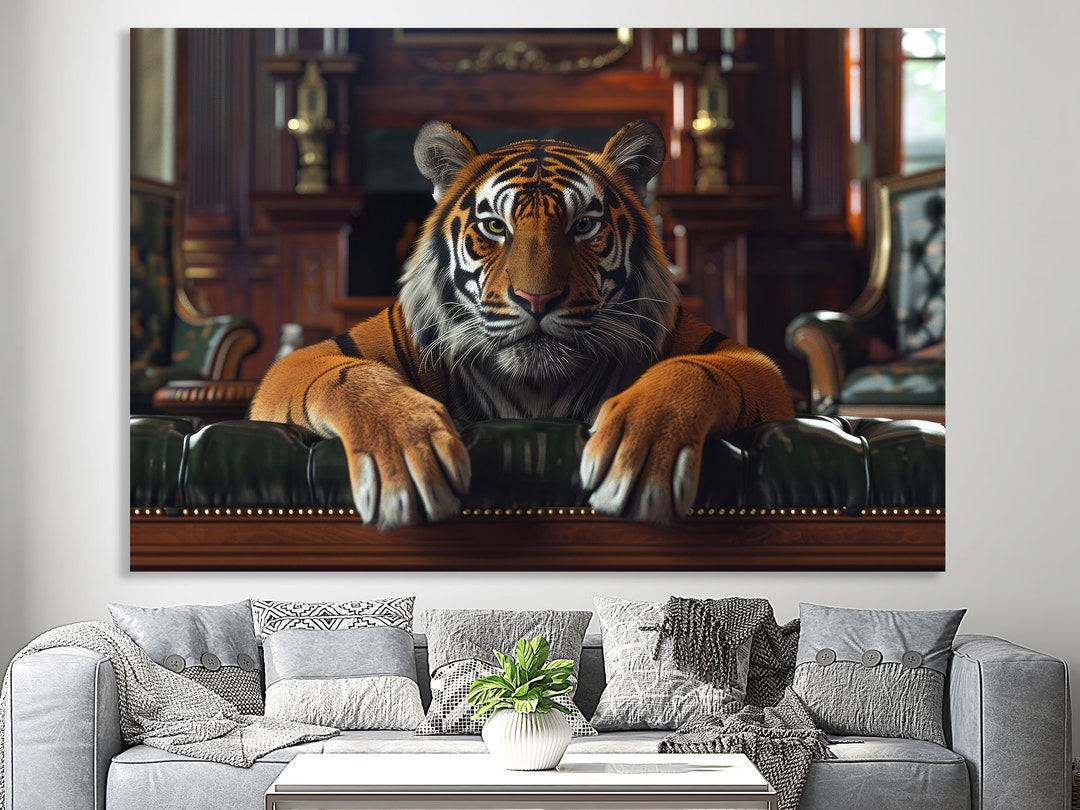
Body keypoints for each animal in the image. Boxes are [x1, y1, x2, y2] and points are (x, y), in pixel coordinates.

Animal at [249, 119, 794, 530]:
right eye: (495, 226)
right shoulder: (310, 359)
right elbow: (349, 377)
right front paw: (404, 454)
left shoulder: (746, 360)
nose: (538, 299)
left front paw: (642, 449)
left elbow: (692, 371)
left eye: (583, 226)